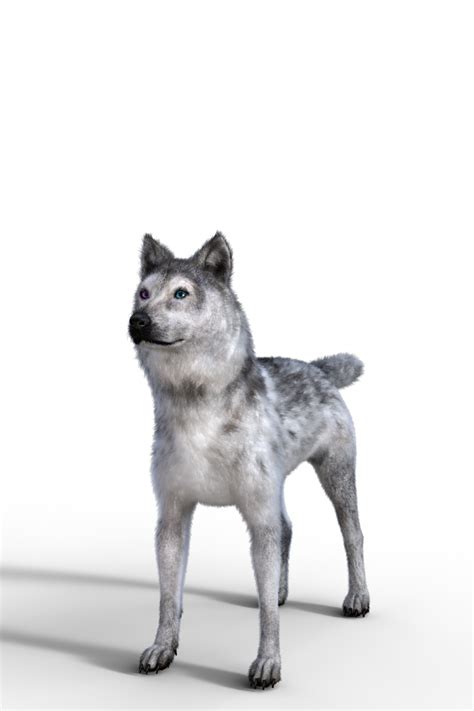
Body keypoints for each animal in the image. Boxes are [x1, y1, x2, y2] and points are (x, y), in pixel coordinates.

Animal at [128, 232, 370, 689]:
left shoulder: (258, 515)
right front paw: (162, 649)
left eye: (181, 293)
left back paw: (357, 598)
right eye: (143, 293)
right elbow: (168, 597)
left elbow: (269, 617)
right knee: (288, 528)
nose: (137, 321)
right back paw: (280, 589)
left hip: (336, 478)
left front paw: (268, 664)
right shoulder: (172, 516)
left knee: (354, 535)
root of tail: (318, 369)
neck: (197, 410)